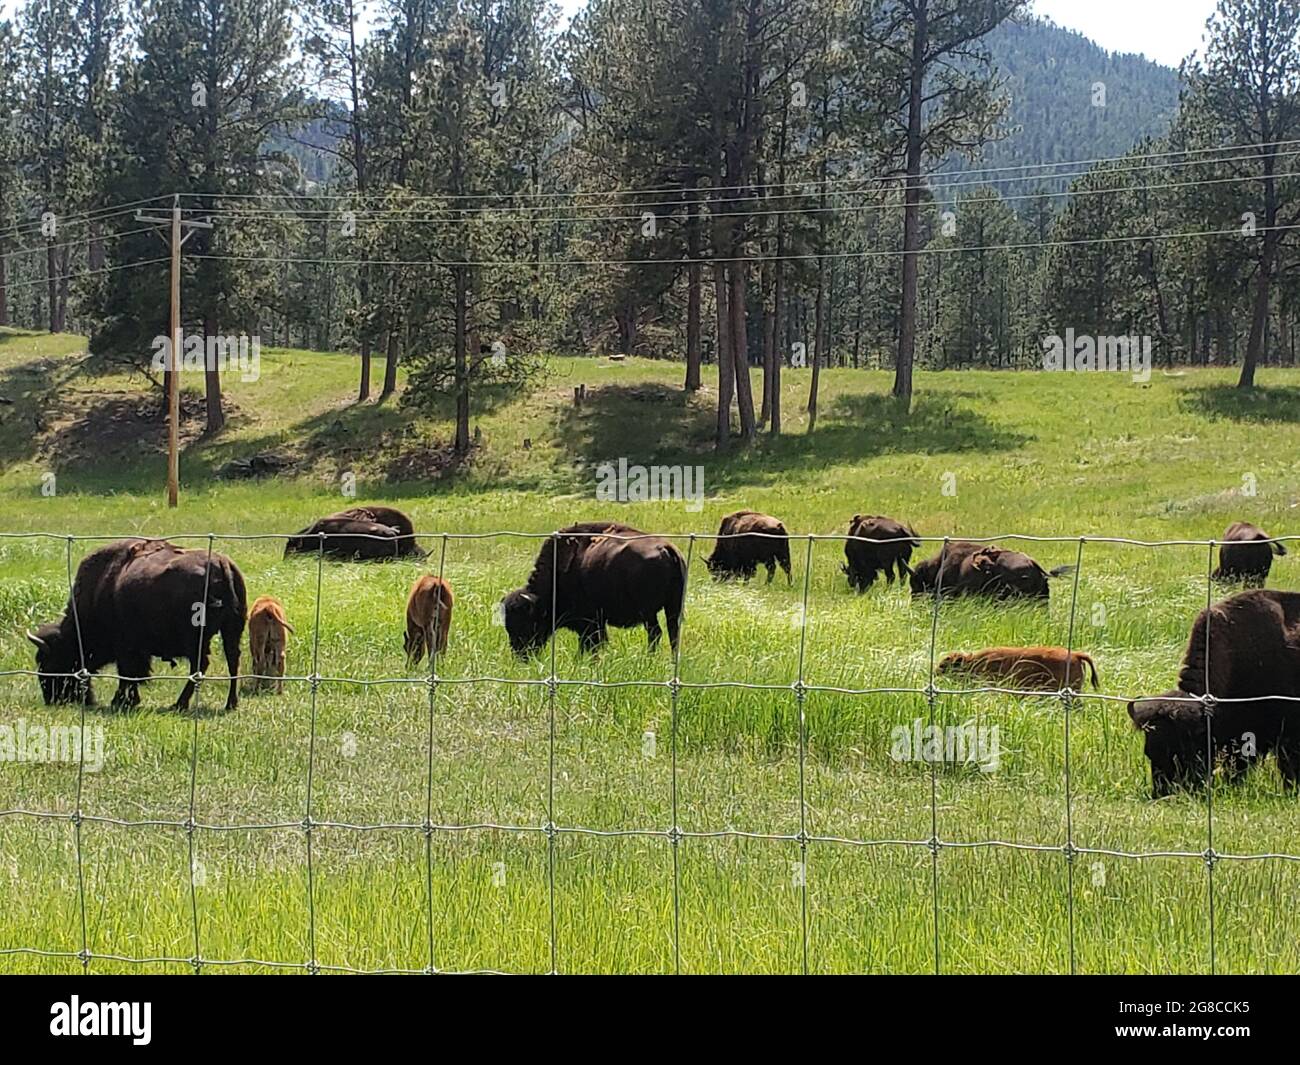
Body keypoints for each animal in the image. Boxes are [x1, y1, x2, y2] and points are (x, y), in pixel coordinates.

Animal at [27, 538, 246, 712]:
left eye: (50, 664)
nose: (53, 700)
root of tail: (221, 563)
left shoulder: (127, 649)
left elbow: (128, 675)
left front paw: (121, 701)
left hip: (197, 639)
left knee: (201, 665)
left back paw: (179, 704)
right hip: (231, 631)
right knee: (231, 661)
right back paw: (229, 704)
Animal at [501, 522, 686, 655]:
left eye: (526, 622)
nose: (521, 655)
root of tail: (667, 548)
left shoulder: (590, 623)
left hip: (648, 612)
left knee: (655, 633)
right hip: (672, 607)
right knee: (673, 633)